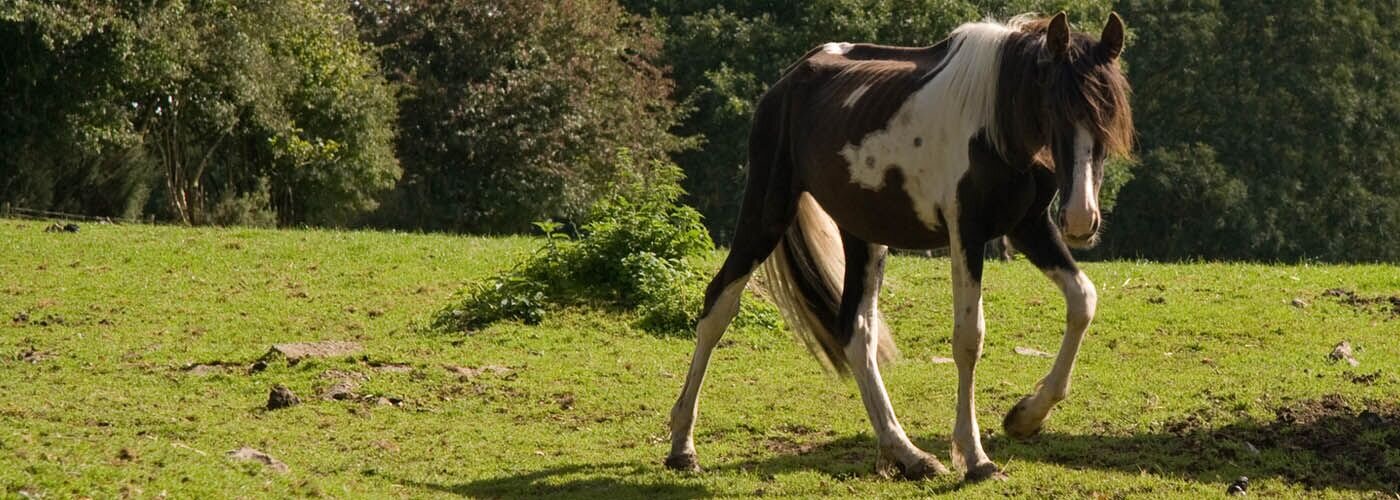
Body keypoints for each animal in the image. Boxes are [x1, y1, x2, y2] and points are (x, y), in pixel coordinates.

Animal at [664, 12, 1134, 482]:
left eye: (1110, 115)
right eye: (1054, 108)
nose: (1081, 220)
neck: (997, 119)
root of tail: (788, 81)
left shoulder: (1028, 227)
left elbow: (1083, 299)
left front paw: (1025, 417)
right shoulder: (967, 233)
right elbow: (969, 338)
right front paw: (975, 458)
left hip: (863, 234)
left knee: (856, 332)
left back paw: (907, 454)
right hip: (766, 214)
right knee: (718, 307)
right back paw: (682, 447)